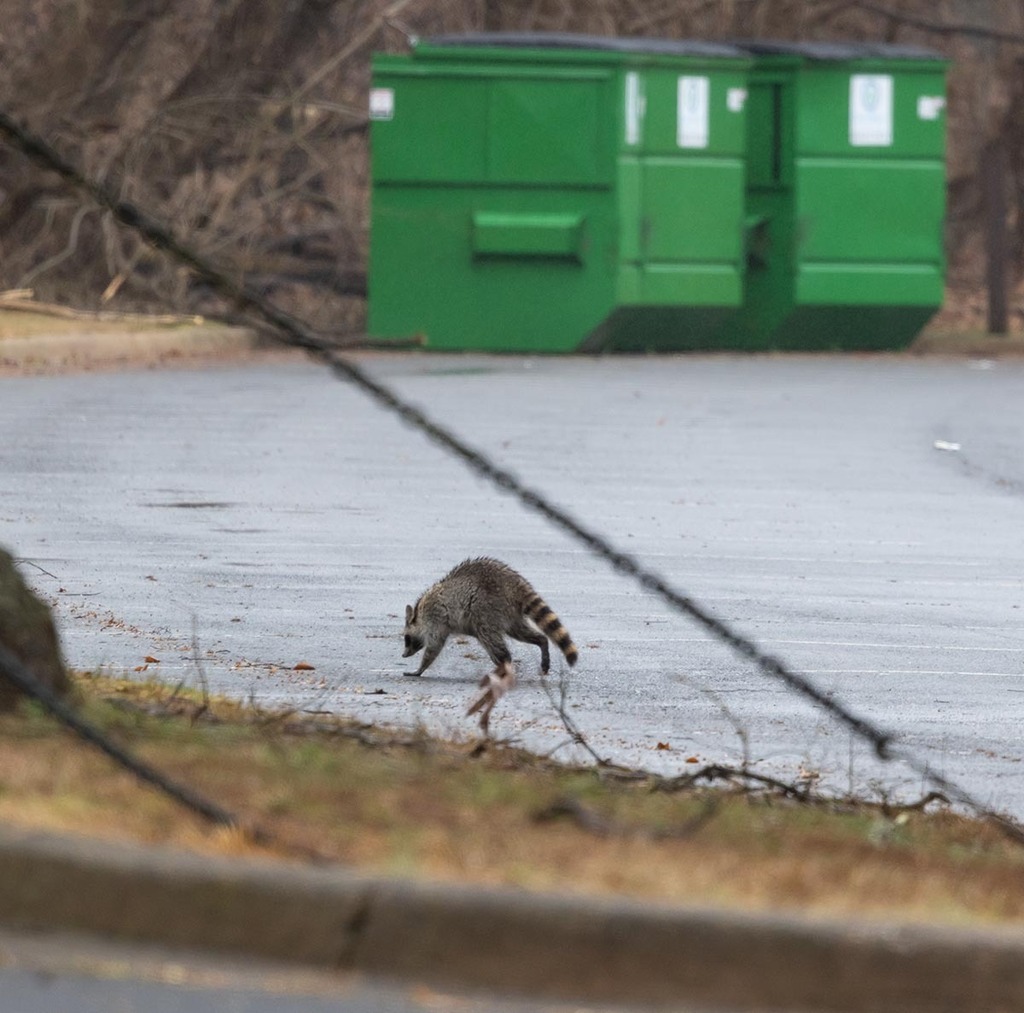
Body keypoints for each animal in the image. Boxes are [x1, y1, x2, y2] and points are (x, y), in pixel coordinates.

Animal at [402, 557, 578, 677]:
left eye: (406, 638)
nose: (404, 654)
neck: (419, 615)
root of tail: (515, 584)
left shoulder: (435, 617)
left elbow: (434, 645)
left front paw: (420, 669)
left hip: (487, 607)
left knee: (490, 638)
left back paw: (505, 663)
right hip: (507, 613)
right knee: (516, 632)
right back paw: (541, 642)